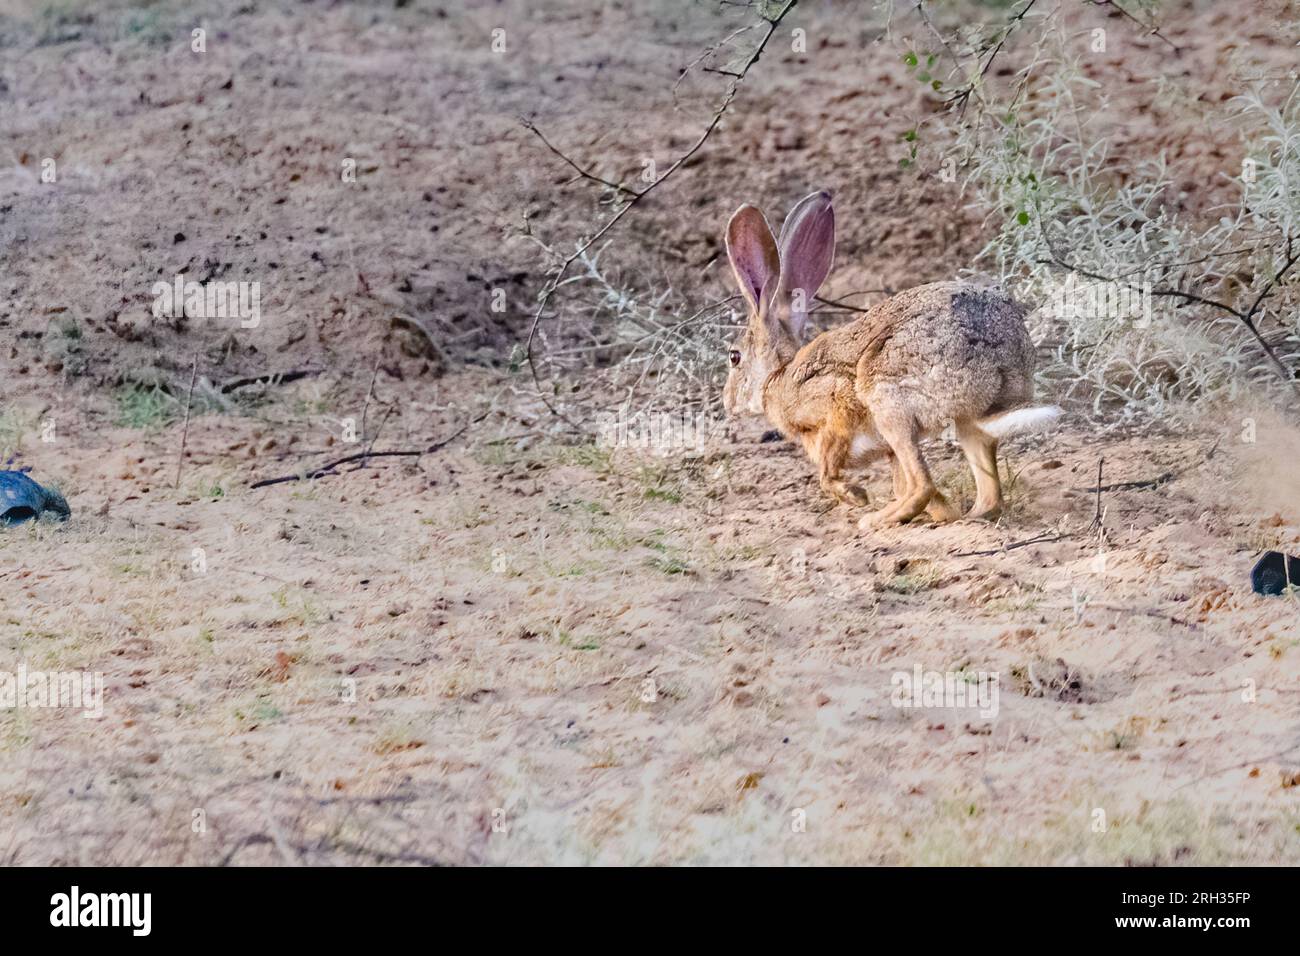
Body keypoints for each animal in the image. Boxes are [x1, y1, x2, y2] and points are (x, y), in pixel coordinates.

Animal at [722, 190, 1061, 528]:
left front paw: (856, 495)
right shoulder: (886, 451)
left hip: (887, 400)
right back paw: (965, 517)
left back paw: (874, 520)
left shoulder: (834, 404)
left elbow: (827, 472)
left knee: (922, 485)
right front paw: (942, 512)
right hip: (963, 427)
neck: (777, 374)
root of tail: (1001, 364)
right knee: (986, 495)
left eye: (734, 357)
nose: (727, 401)